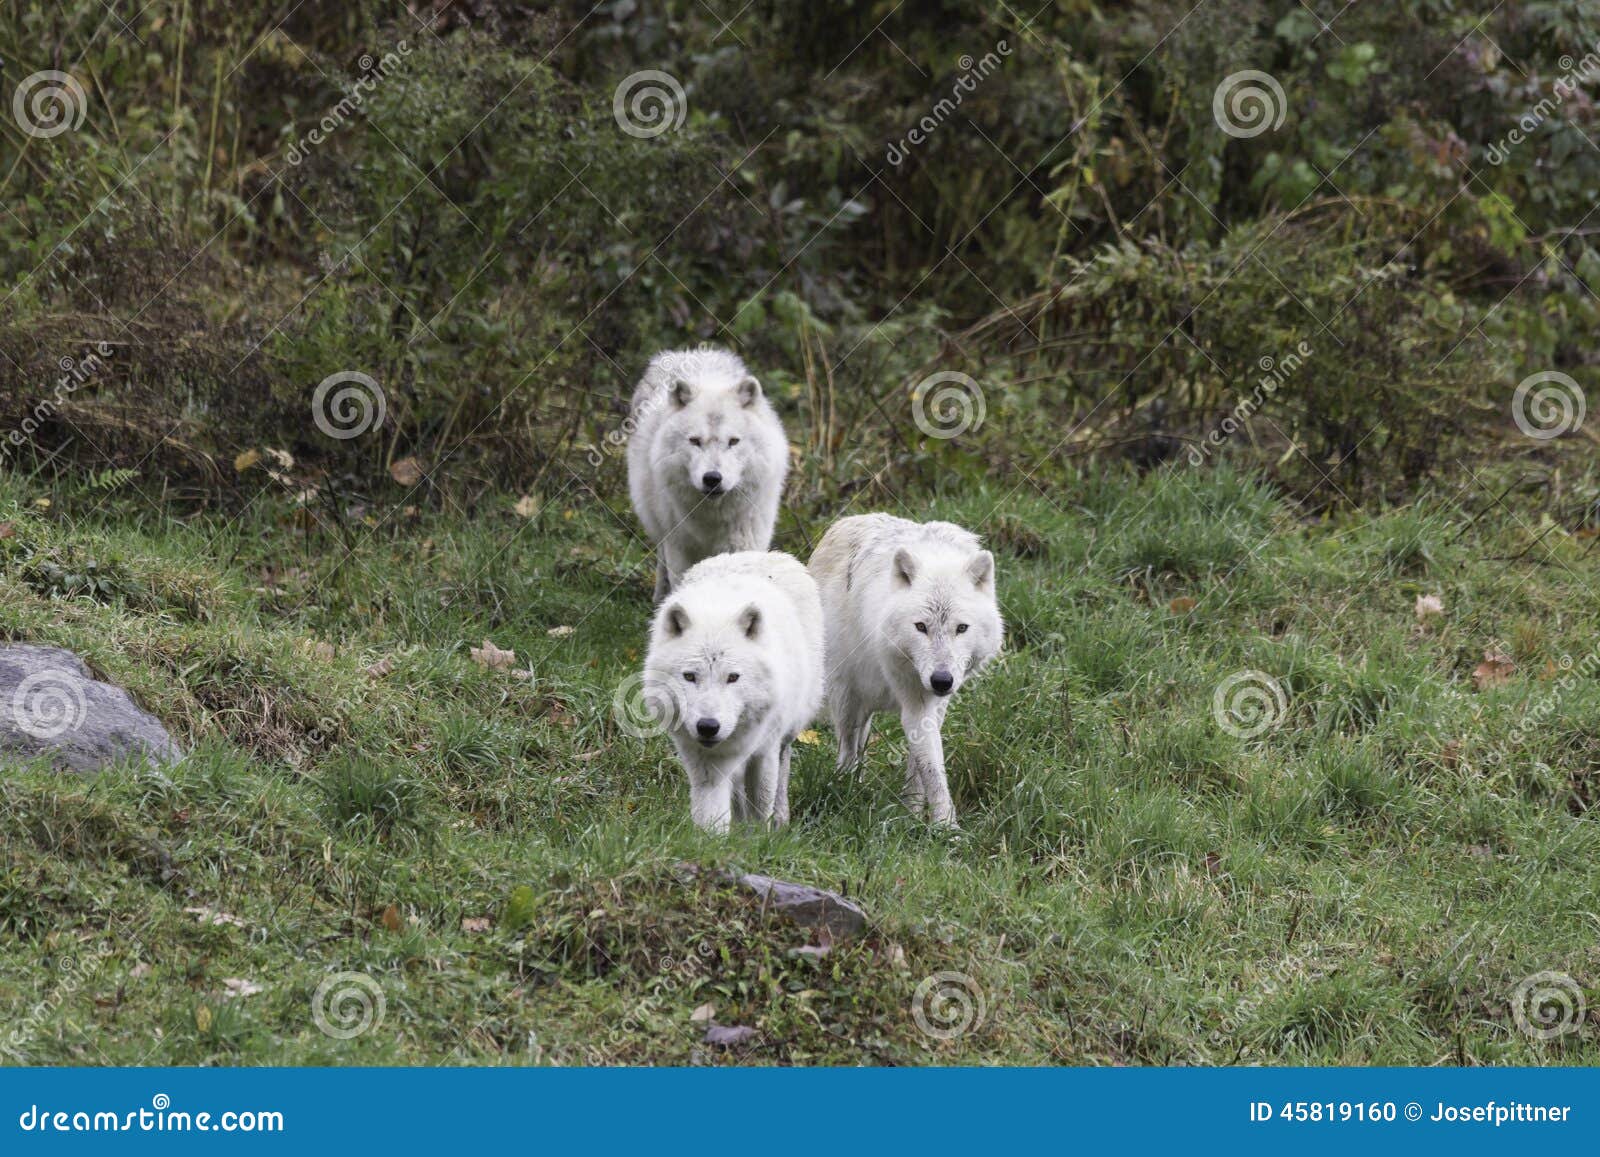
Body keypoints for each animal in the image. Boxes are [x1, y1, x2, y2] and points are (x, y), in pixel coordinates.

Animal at [627, 348, 788, 601]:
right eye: (695, 441)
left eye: (733, 441)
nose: (712, 478)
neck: (714, 518)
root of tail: (689, 353)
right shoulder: (680, 550)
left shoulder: (743, 546)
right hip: (658, 525)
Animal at [641, 550, 823, 833]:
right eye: (690, 676)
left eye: (733, 677)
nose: (708, 726)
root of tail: (759, 553)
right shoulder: (703, 760)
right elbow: (711, 811)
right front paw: (713, 839)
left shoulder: (765, 751)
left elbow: (761, 805)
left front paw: (759, 838)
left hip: (789, 729)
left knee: (783, 767)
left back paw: (780, 820)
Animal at [808, 514, 1003, 827]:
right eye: (920, 627)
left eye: (961, 628)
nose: (941, 681)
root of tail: (842, 523)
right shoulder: (915, 700)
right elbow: (933, 771)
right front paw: (947, 828)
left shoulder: (933, 705)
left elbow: (921, 767)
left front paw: (913, 811)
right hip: (847, 698)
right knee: (847, 748)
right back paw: (846, 789)